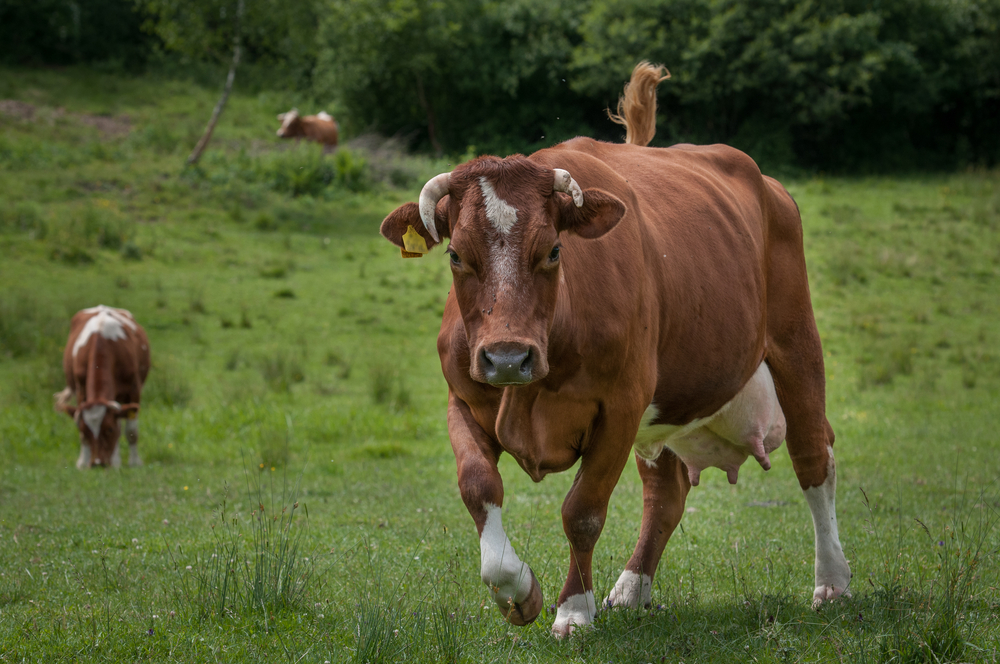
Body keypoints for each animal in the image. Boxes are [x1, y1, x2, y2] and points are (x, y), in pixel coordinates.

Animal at [54, 305, 150, 470]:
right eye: (85, 431)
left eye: (109, 429)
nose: (98, 463)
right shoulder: (81, 391)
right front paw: (83, 462)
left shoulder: (134, 390)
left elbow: (131, 431)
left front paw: (134, 462)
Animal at [378, 62, 851, 637]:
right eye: (455, 255)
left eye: (553, 250)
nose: (508, 357)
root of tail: (768, 185)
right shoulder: (463, 398)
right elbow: (477, 485)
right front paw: (518, 591)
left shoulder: (622, 405)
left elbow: (583, 510)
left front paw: (573, 610)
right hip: (668, 406)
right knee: (666, 494)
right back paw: (630, 590)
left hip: (795, 343)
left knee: (814, 457)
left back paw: (832, 583)